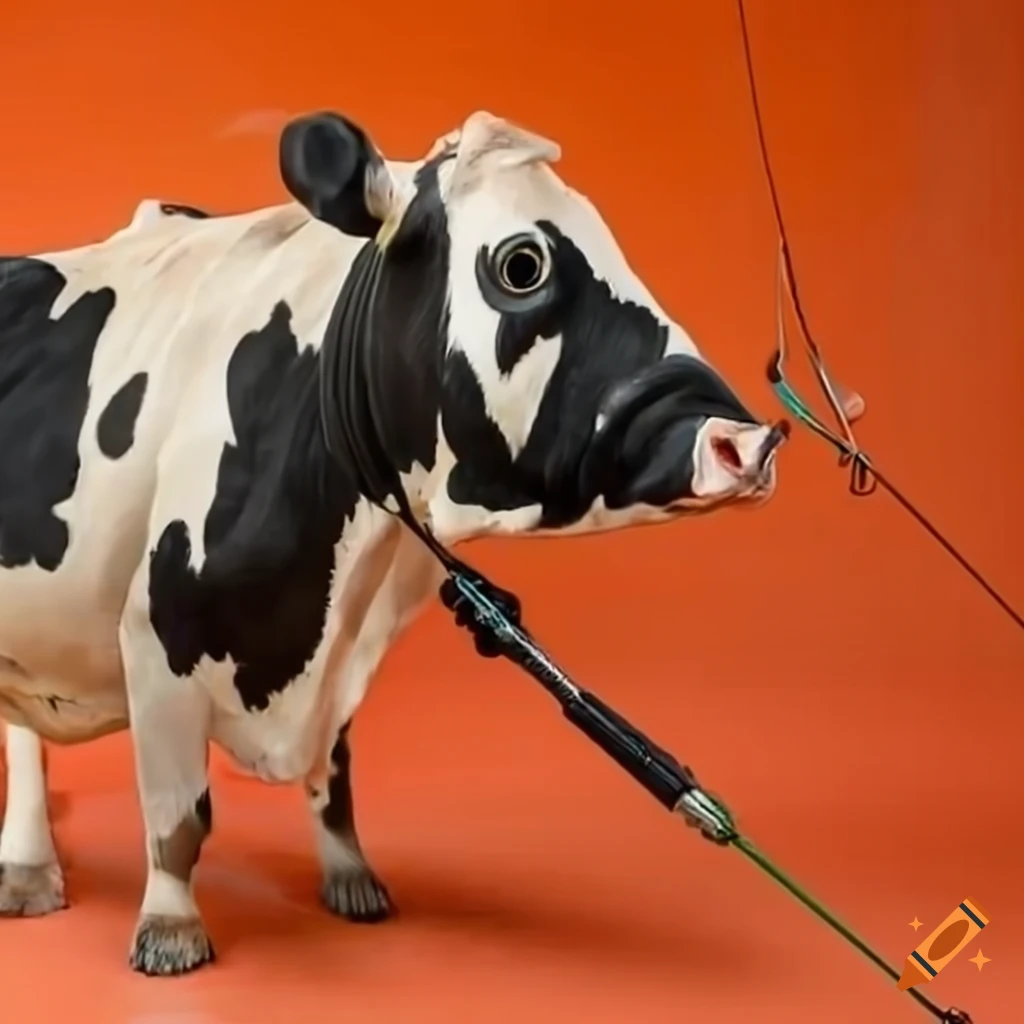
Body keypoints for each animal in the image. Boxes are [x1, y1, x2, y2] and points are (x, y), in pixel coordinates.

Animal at [0, 109, 788, 976]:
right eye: (522, 265)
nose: (744, 442)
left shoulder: (342, 654)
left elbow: (335, 782)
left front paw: (353, 880)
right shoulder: (157, 635)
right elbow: (180, 816)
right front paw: (171, 930)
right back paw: (28, 869)